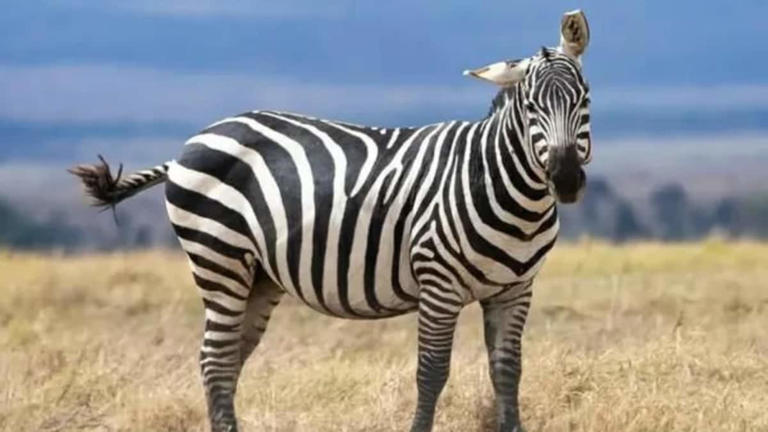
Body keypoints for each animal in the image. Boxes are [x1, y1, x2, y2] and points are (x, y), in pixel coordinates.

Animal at [70, 10, 591, 432]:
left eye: (583, 99)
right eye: (530, 109)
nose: (566, 179)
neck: (503, 187)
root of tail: (195, 140)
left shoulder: (515, 289)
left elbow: (508, 372)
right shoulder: (438, 283)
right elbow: (431, 371)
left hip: (258, 276)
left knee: (230, 359)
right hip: (219, 257)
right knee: (215, 360)